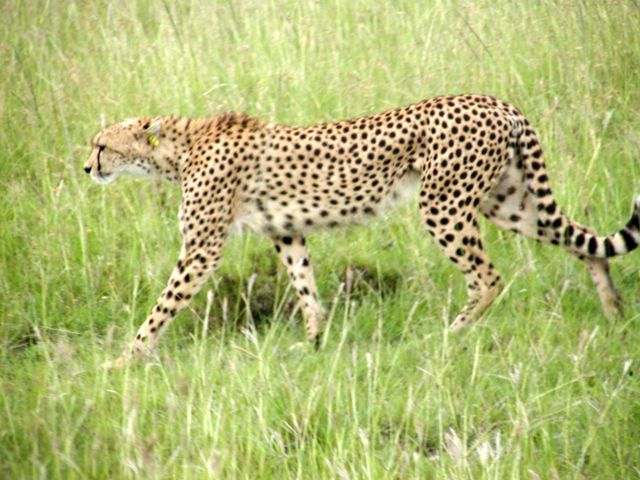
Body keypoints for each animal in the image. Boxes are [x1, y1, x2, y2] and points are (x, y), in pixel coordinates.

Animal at [84, 95, 640, 367]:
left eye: (102, 145)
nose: (87, 168)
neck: (176, 150)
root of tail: (495, 101)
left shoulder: (201, 250)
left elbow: (162, 307)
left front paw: (126, 359)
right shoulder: (286, 233)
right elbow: (306, 288)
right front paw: (313, 344)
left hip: (443, 205)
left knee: (488, 277)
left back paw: (451, 333)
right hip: (507, 202)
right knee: (584, 242)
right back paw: (613, 312)